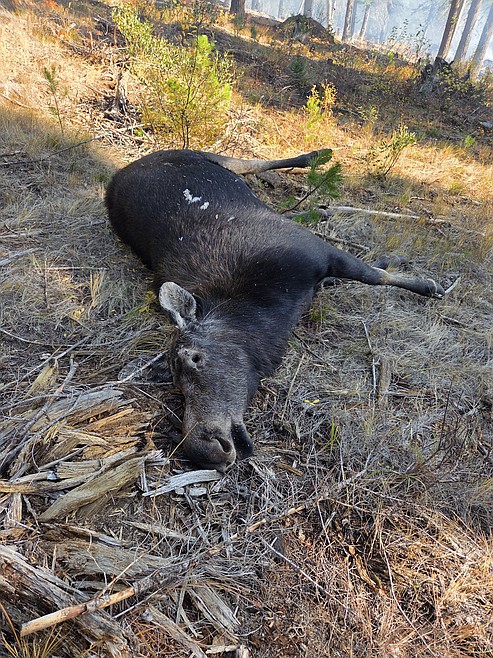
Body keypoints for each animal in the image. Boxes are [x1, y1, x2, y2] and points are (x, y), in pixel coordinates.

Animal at [105, 149, 444, 472]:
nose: (203, 448)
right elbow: (359, 276)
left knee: (252, 163)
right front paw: (393, 260)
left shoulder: (318, 250)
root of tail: (126, 169)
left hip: (209, 157)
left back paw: (316, 156)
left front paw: (426, 283)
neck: (271, 312)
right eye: (176, 385)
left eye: (194, 359)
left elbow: (375, 275)